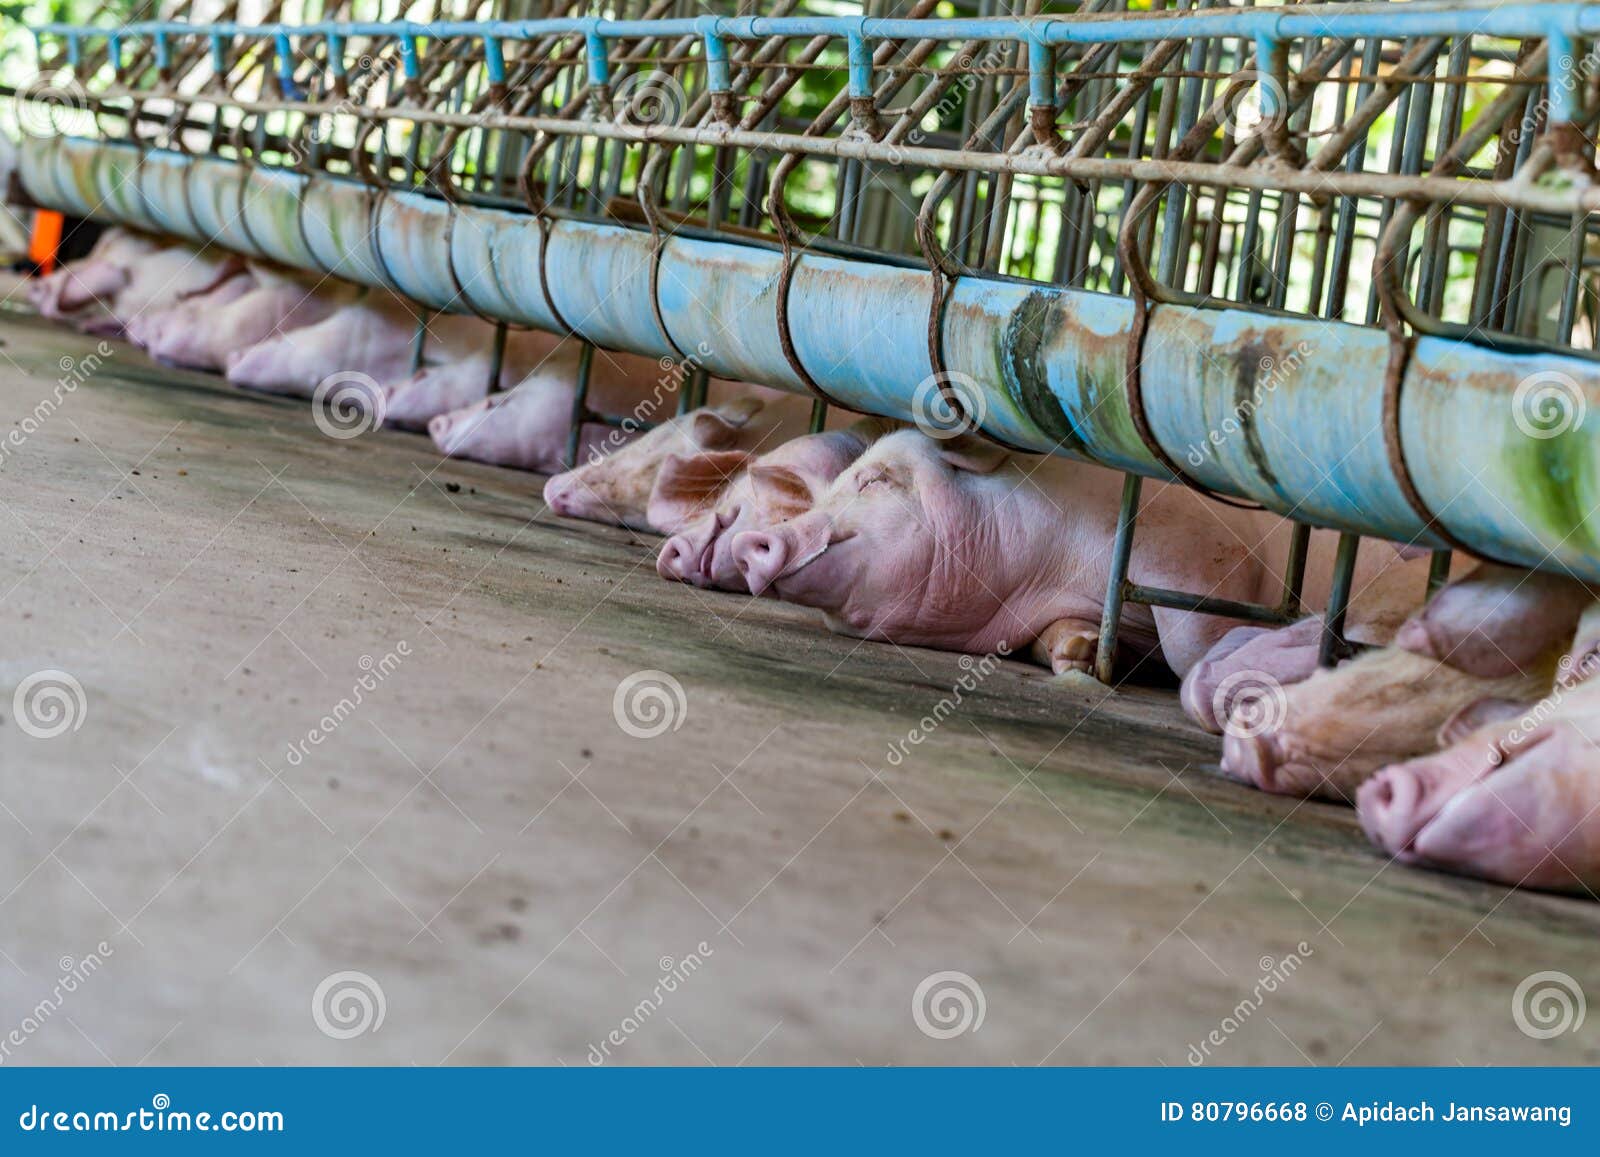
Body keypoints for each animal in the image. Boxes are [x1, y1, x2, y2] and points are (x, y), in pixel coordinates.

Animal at [726, 429, 1342, 680]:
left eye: (876, 480)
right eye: (826, 494)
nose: (749, 543)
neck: (1043, 575)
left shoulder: (1194, 548)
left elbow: (1191, 645)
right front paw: (1079, 652)